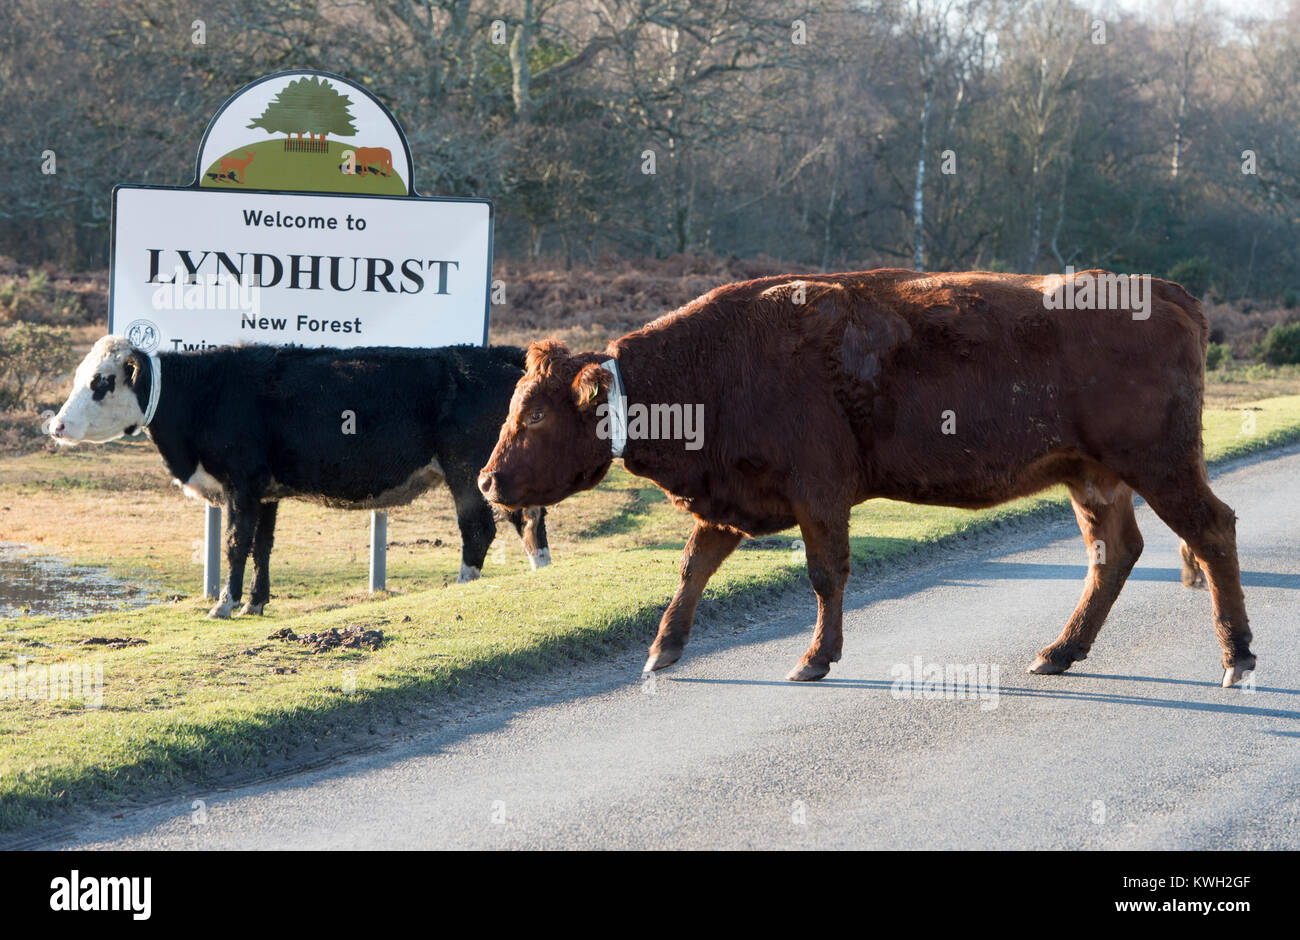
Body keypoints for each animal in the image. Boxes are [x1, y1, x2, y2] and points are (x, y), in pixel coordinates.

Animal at [52, 338, 551, 618]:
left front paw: (225, 604)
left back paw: (465, 587)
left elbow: (235, 543)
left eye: (100, 382)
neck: (206, 392)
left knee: (480, 529)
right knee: (530, 521)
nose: (56, 426)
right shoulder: (266, 492)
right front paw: (255, 602)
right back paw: (541, 575)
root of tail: (495, 356)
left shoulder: (240, 486)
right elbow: (262, 546)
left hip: (470, 474)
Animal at [478, 269, 1256, 688]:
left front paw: (815, 658)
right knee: (1115, 553)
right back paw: (1058, 653)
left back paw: (1238, 658)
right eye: (512, 406)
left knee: (1212, 530)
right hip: (1093, 477)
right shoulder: (729, 499)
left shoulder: (819, 495)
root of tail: (1167, 290)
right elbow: (693, 568)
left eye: (536, 416)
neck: (716, 364)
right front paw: (662, 650)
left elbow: (825, 575)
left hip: (1159, 465)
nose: (487, 481)